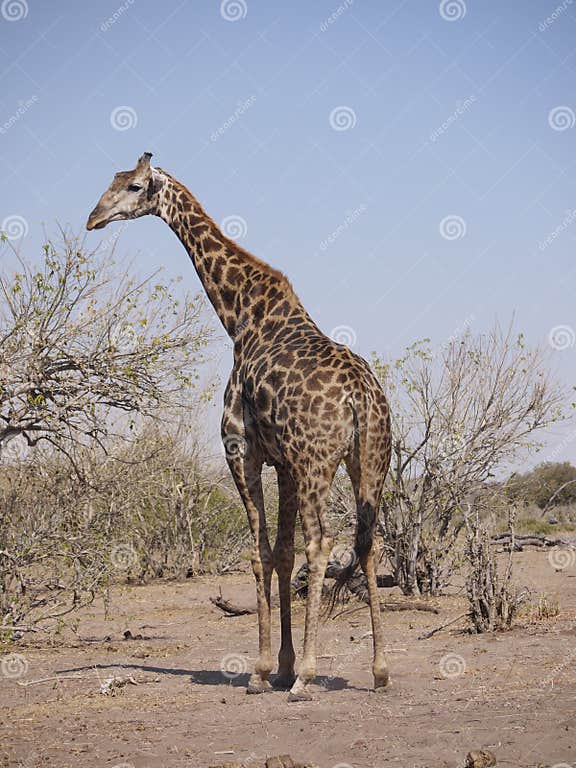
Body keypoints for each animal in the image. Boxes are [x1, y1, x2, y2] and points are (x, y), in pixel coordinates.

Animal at [87, 152, 392, 701]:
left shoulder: (242, 450)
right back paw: (379, 671)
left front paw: (264, 670)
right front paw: (283, 664)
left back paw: (308, 678)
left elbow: (260, 554)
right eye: (113, 181)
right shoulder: (285, 463)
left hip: (320, 462)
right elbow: (283, 554)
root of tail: (360, 398)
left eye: (135, 186)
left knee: (322, 543)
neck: (239, 316)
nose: (93, 218)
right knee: (367, 542)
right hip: (370, 460)